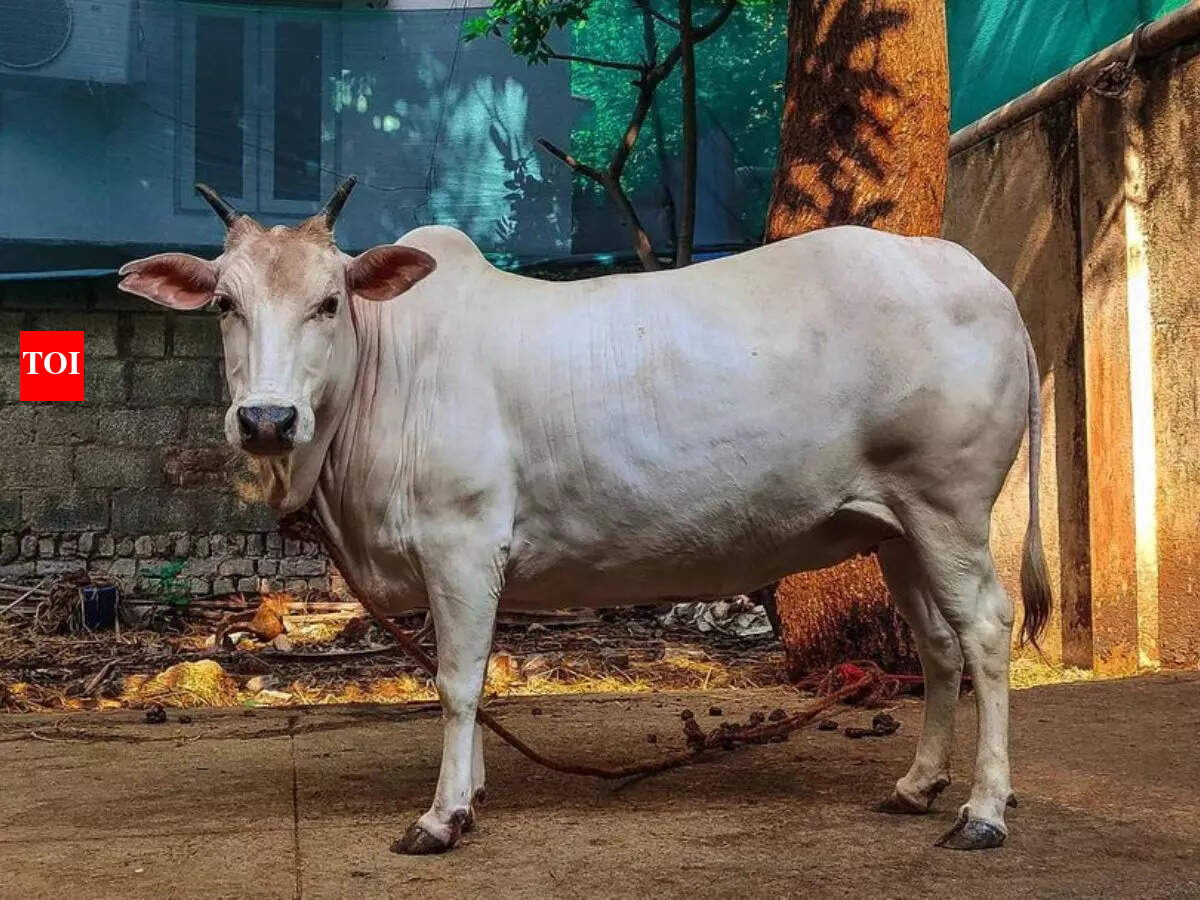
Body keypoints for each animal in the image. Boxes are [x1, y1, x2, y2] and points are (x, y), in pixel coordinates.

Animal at [119, 177, 1050, 855]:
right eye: (225, 305)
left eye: (330, 302)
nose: (267, 419)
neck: (386, 370)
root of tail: (981, 279)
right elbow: (471, 675)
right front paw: (472, 792)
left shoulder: (461, 545)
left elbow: (457, 682)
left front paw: (441, 816)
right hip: (898, 526)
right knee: (935, 643)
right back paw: (916, 786)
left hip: (949, 505)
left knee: (985, 630)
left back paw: (983, 811)